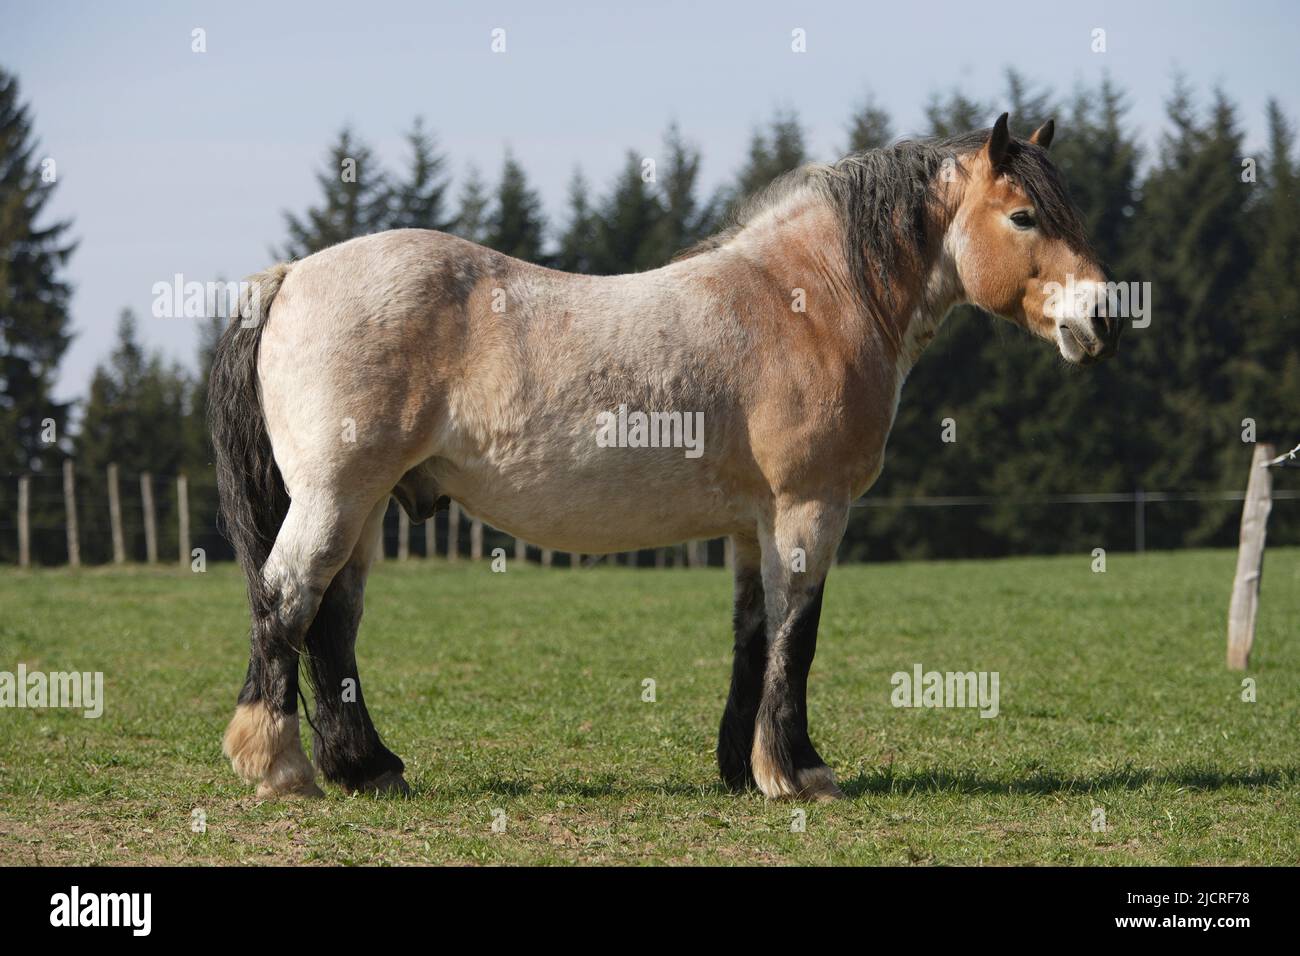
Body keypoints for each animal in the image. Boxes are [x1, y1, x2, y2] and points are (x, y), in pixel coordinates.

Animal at [209, 113, 1118, 802]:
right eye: (1025, 217)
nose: (1103, 316)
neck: (807, 300)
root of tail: (290, 278)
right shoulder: (809, 509)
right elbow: (799, 634)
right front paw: (799, 772)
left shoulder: (754, 525)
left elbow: (755, 635)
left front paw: (742, 768)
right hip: (337, 497)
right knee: (286, 598)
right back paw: (280, 767)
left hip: (364, 507)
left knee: (332, 622)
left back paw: (368, 768)